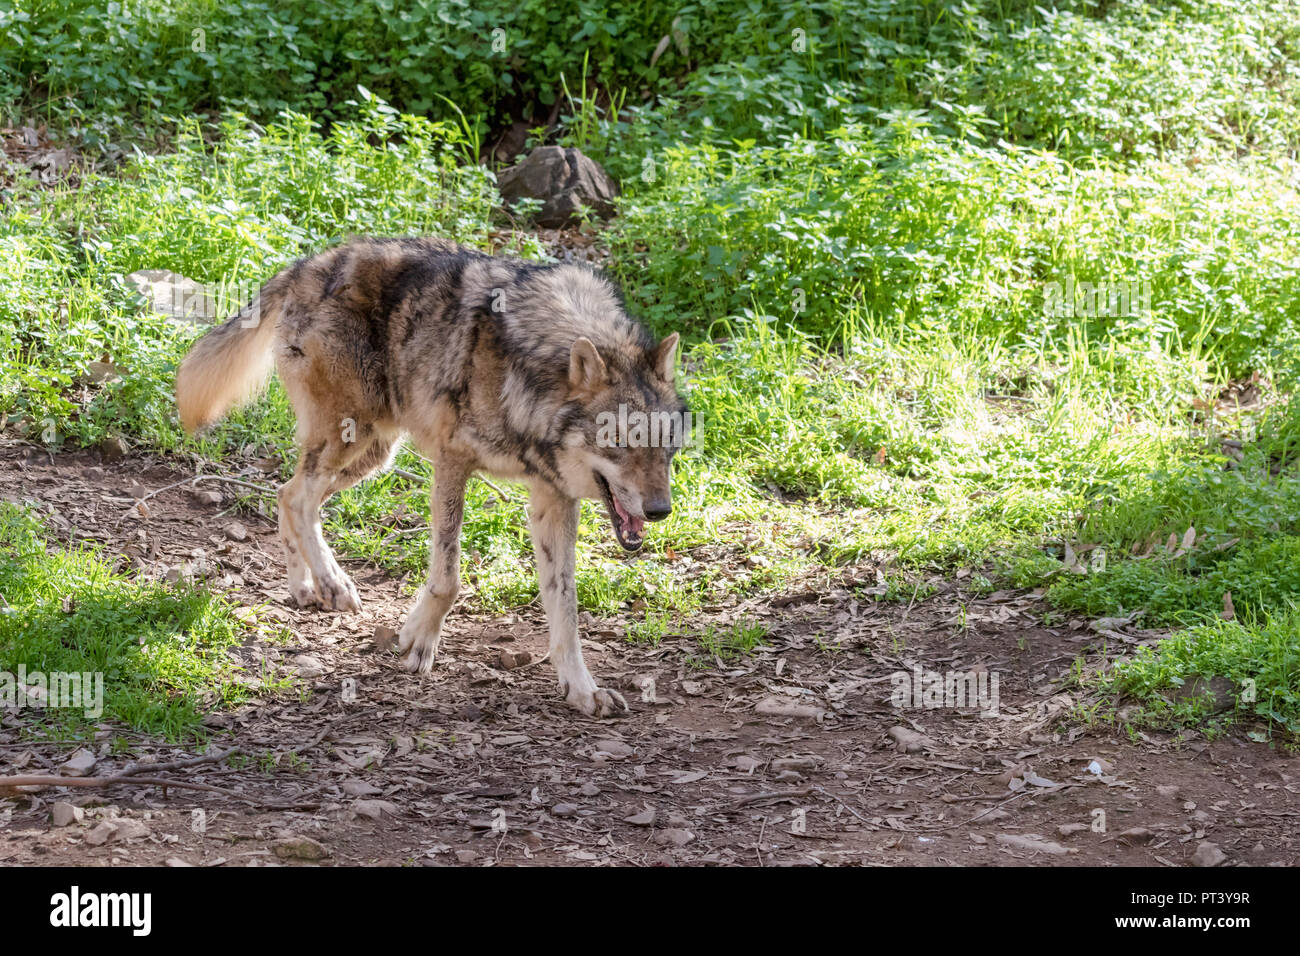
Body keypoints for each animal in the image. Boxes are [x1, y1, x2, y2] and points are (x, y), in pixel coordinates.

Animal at [175, 237, 687, 717]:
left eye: (666, 445)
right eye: (619, 443)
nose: (660, 511)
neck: (530, 373)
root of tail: (309, 264)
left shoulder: (554, 498)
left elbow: (566, 605)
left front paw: (582, 690)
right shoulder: (452, 462)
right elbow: (448, 579)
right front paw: (419, 639)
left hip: (371, 455)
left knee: (285, 493)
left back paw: (305, 587)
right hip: (353, 439)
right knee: (297, 497)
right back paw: (333, 585)